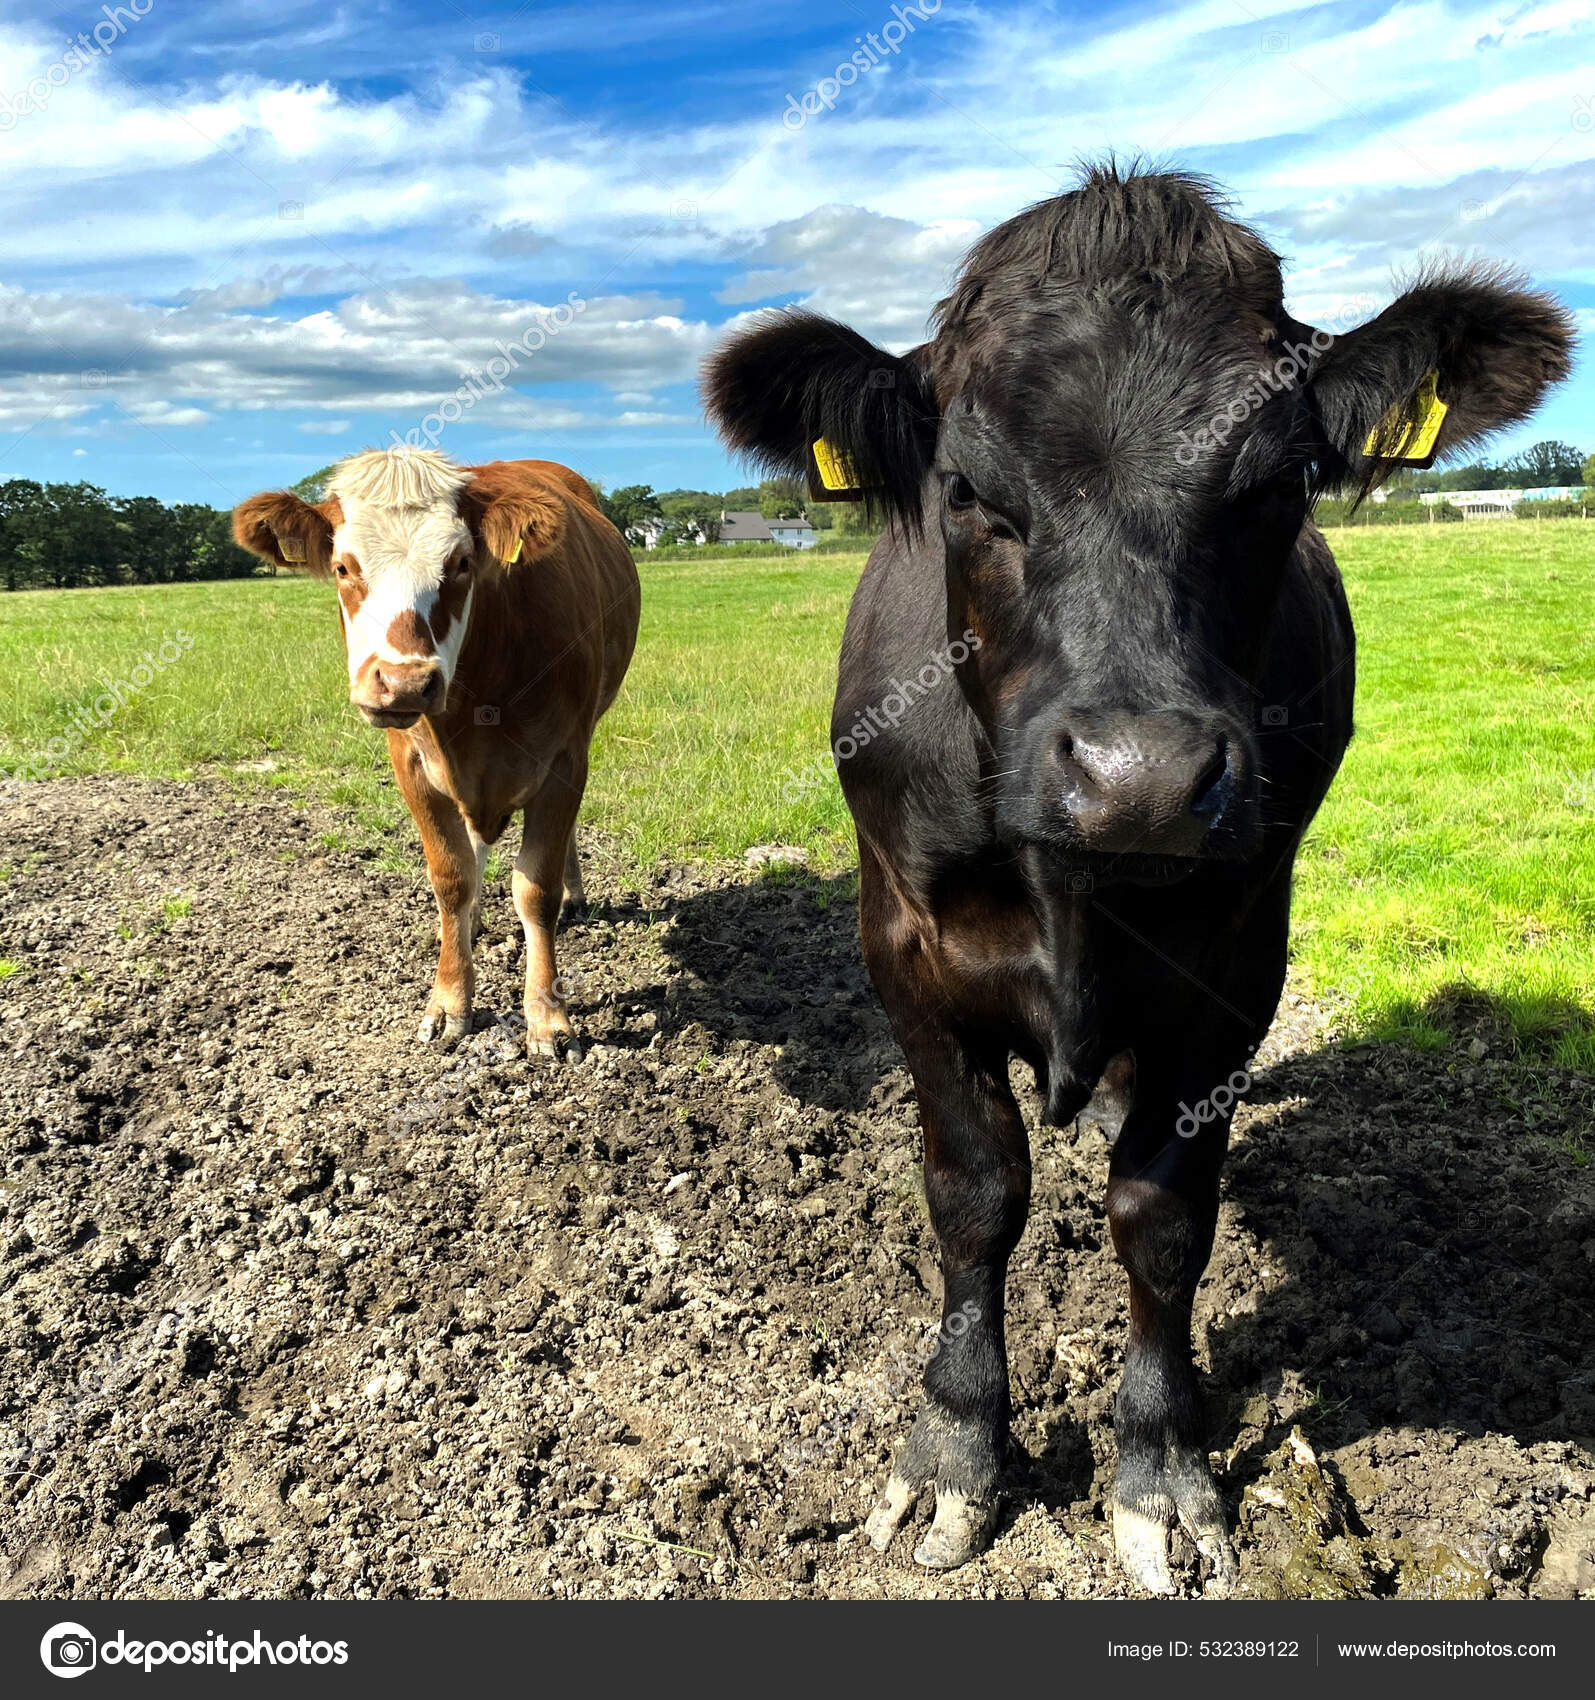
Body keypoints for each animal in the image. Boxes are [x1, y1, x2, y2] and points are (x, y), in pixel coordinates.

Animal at [233, 449, 640, 1061]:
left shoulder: (565, 759)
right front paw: (450, 1000)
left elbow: (535, 889)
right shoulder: (413, 767)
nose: (403, 683)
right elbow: (453, 877)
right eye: (343, 567)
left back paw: (573, 898)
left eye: (462, 562)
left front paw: (547, 1017)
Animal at [705, 166, 1572, 1593]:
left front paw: (1160, 1469)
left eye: (1276, 482)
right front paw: (955, 1446)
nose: (1140, 778)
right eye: (965, 489)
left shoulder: (1233, 965)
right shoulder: (902, 945)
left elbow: (1162, 1213)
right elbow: (975, 1191)